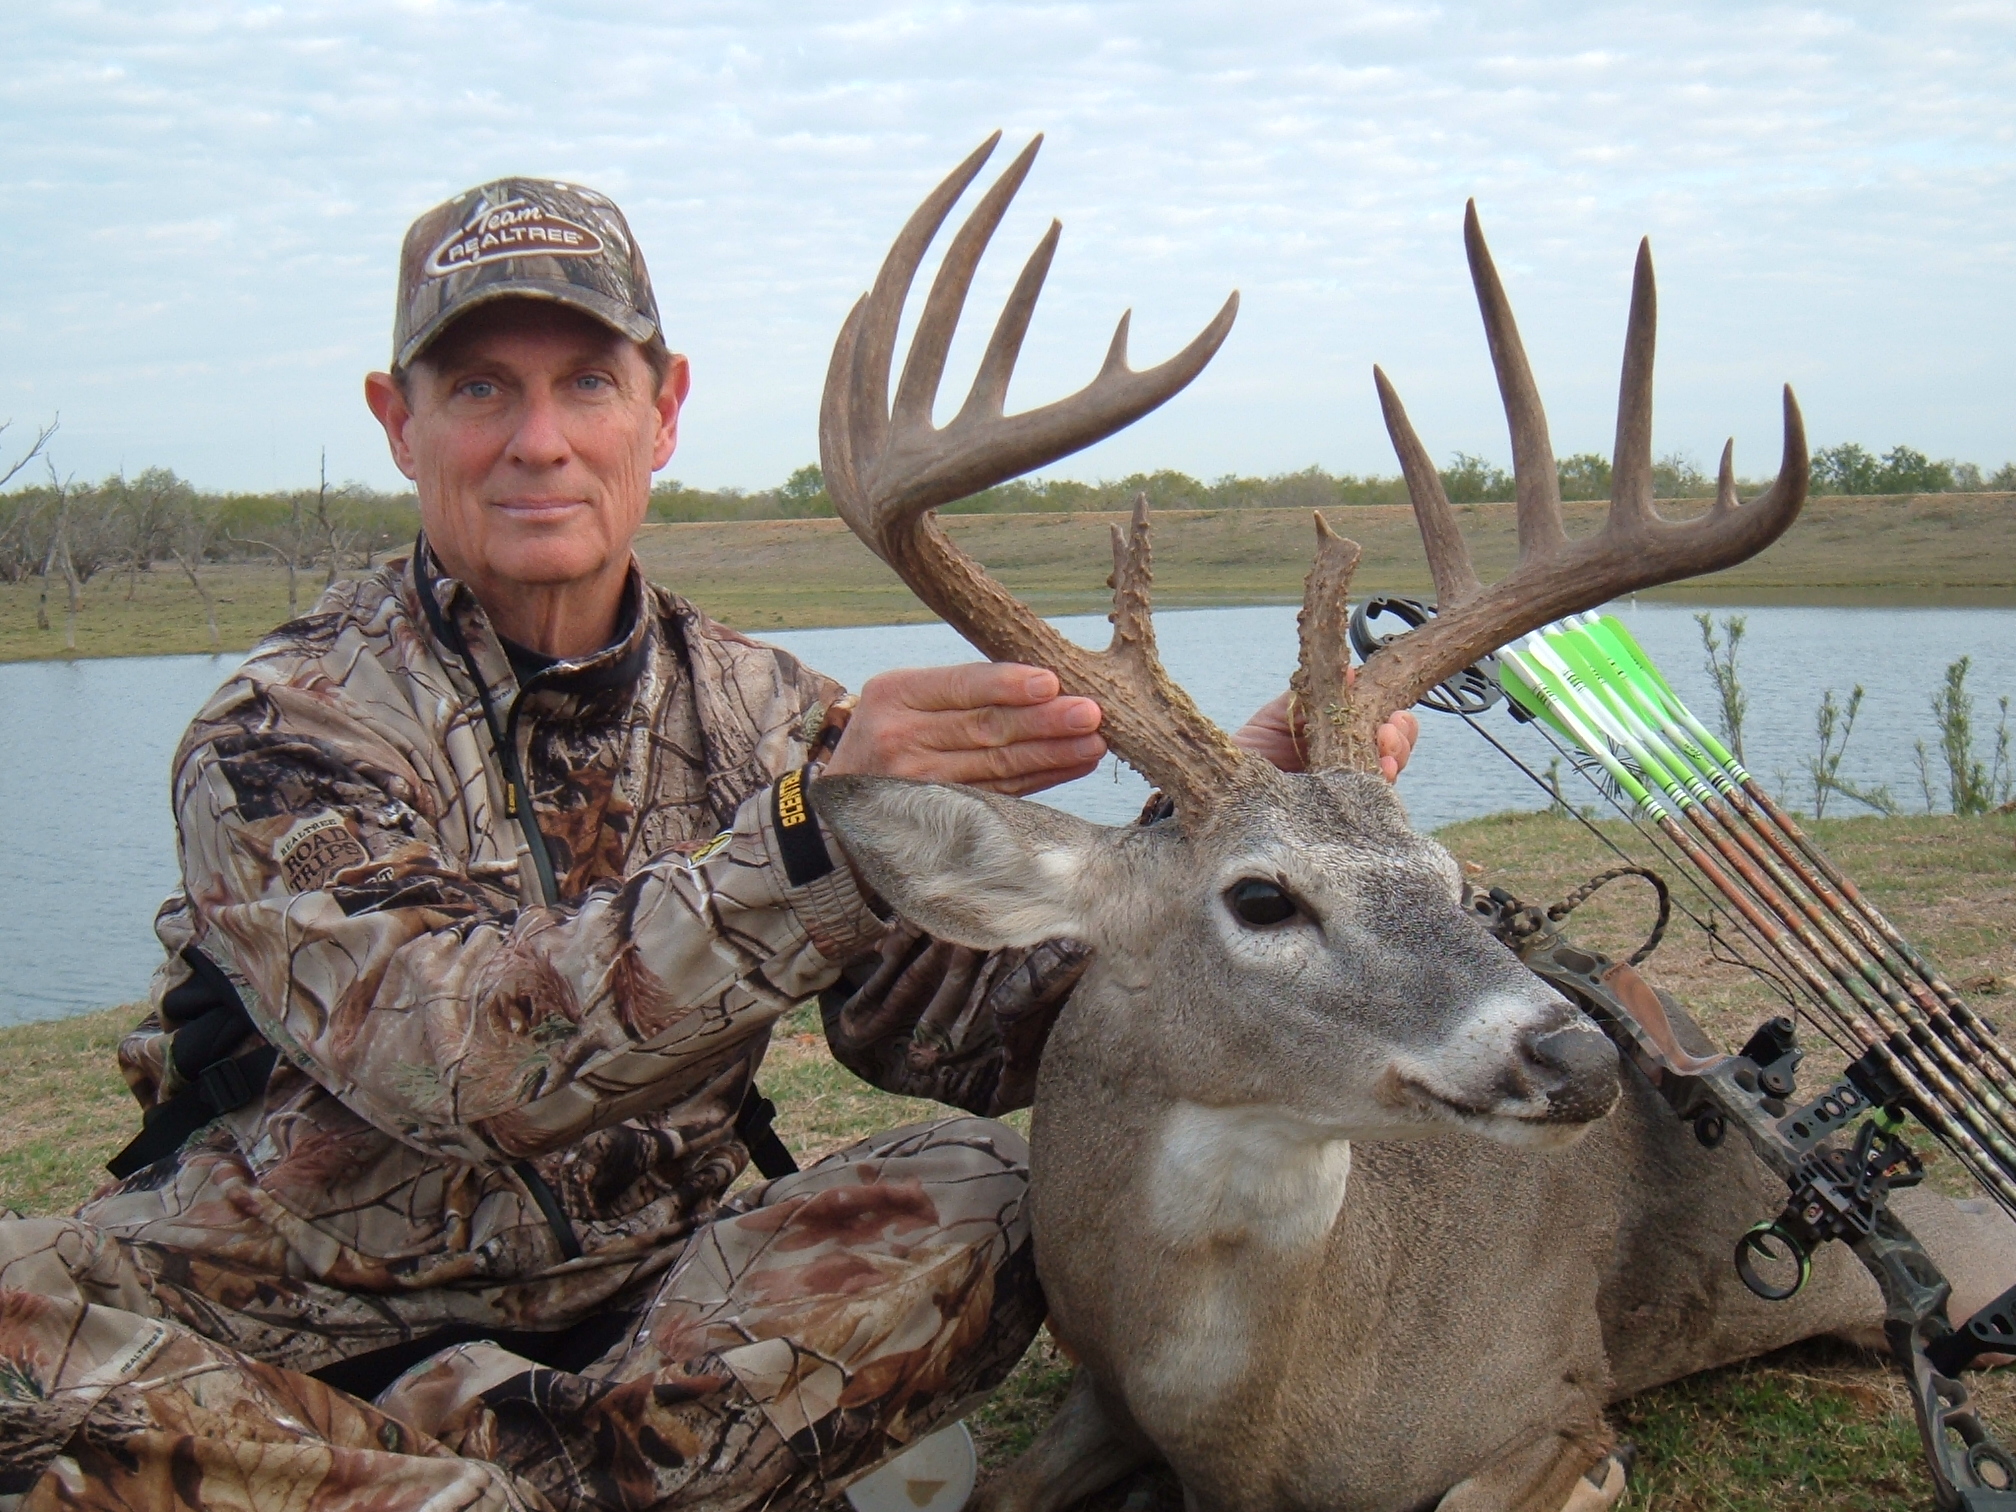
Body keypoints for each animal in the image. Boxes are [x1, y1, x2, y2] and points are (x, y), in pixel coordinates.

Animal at [805, 135, 2016, 1512]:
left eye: (1443, 870)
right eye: (1261, 896)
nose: (1579, 1057)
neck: (1253, 1432)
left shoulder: (1554, 1404)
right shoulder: (1100, 1396)